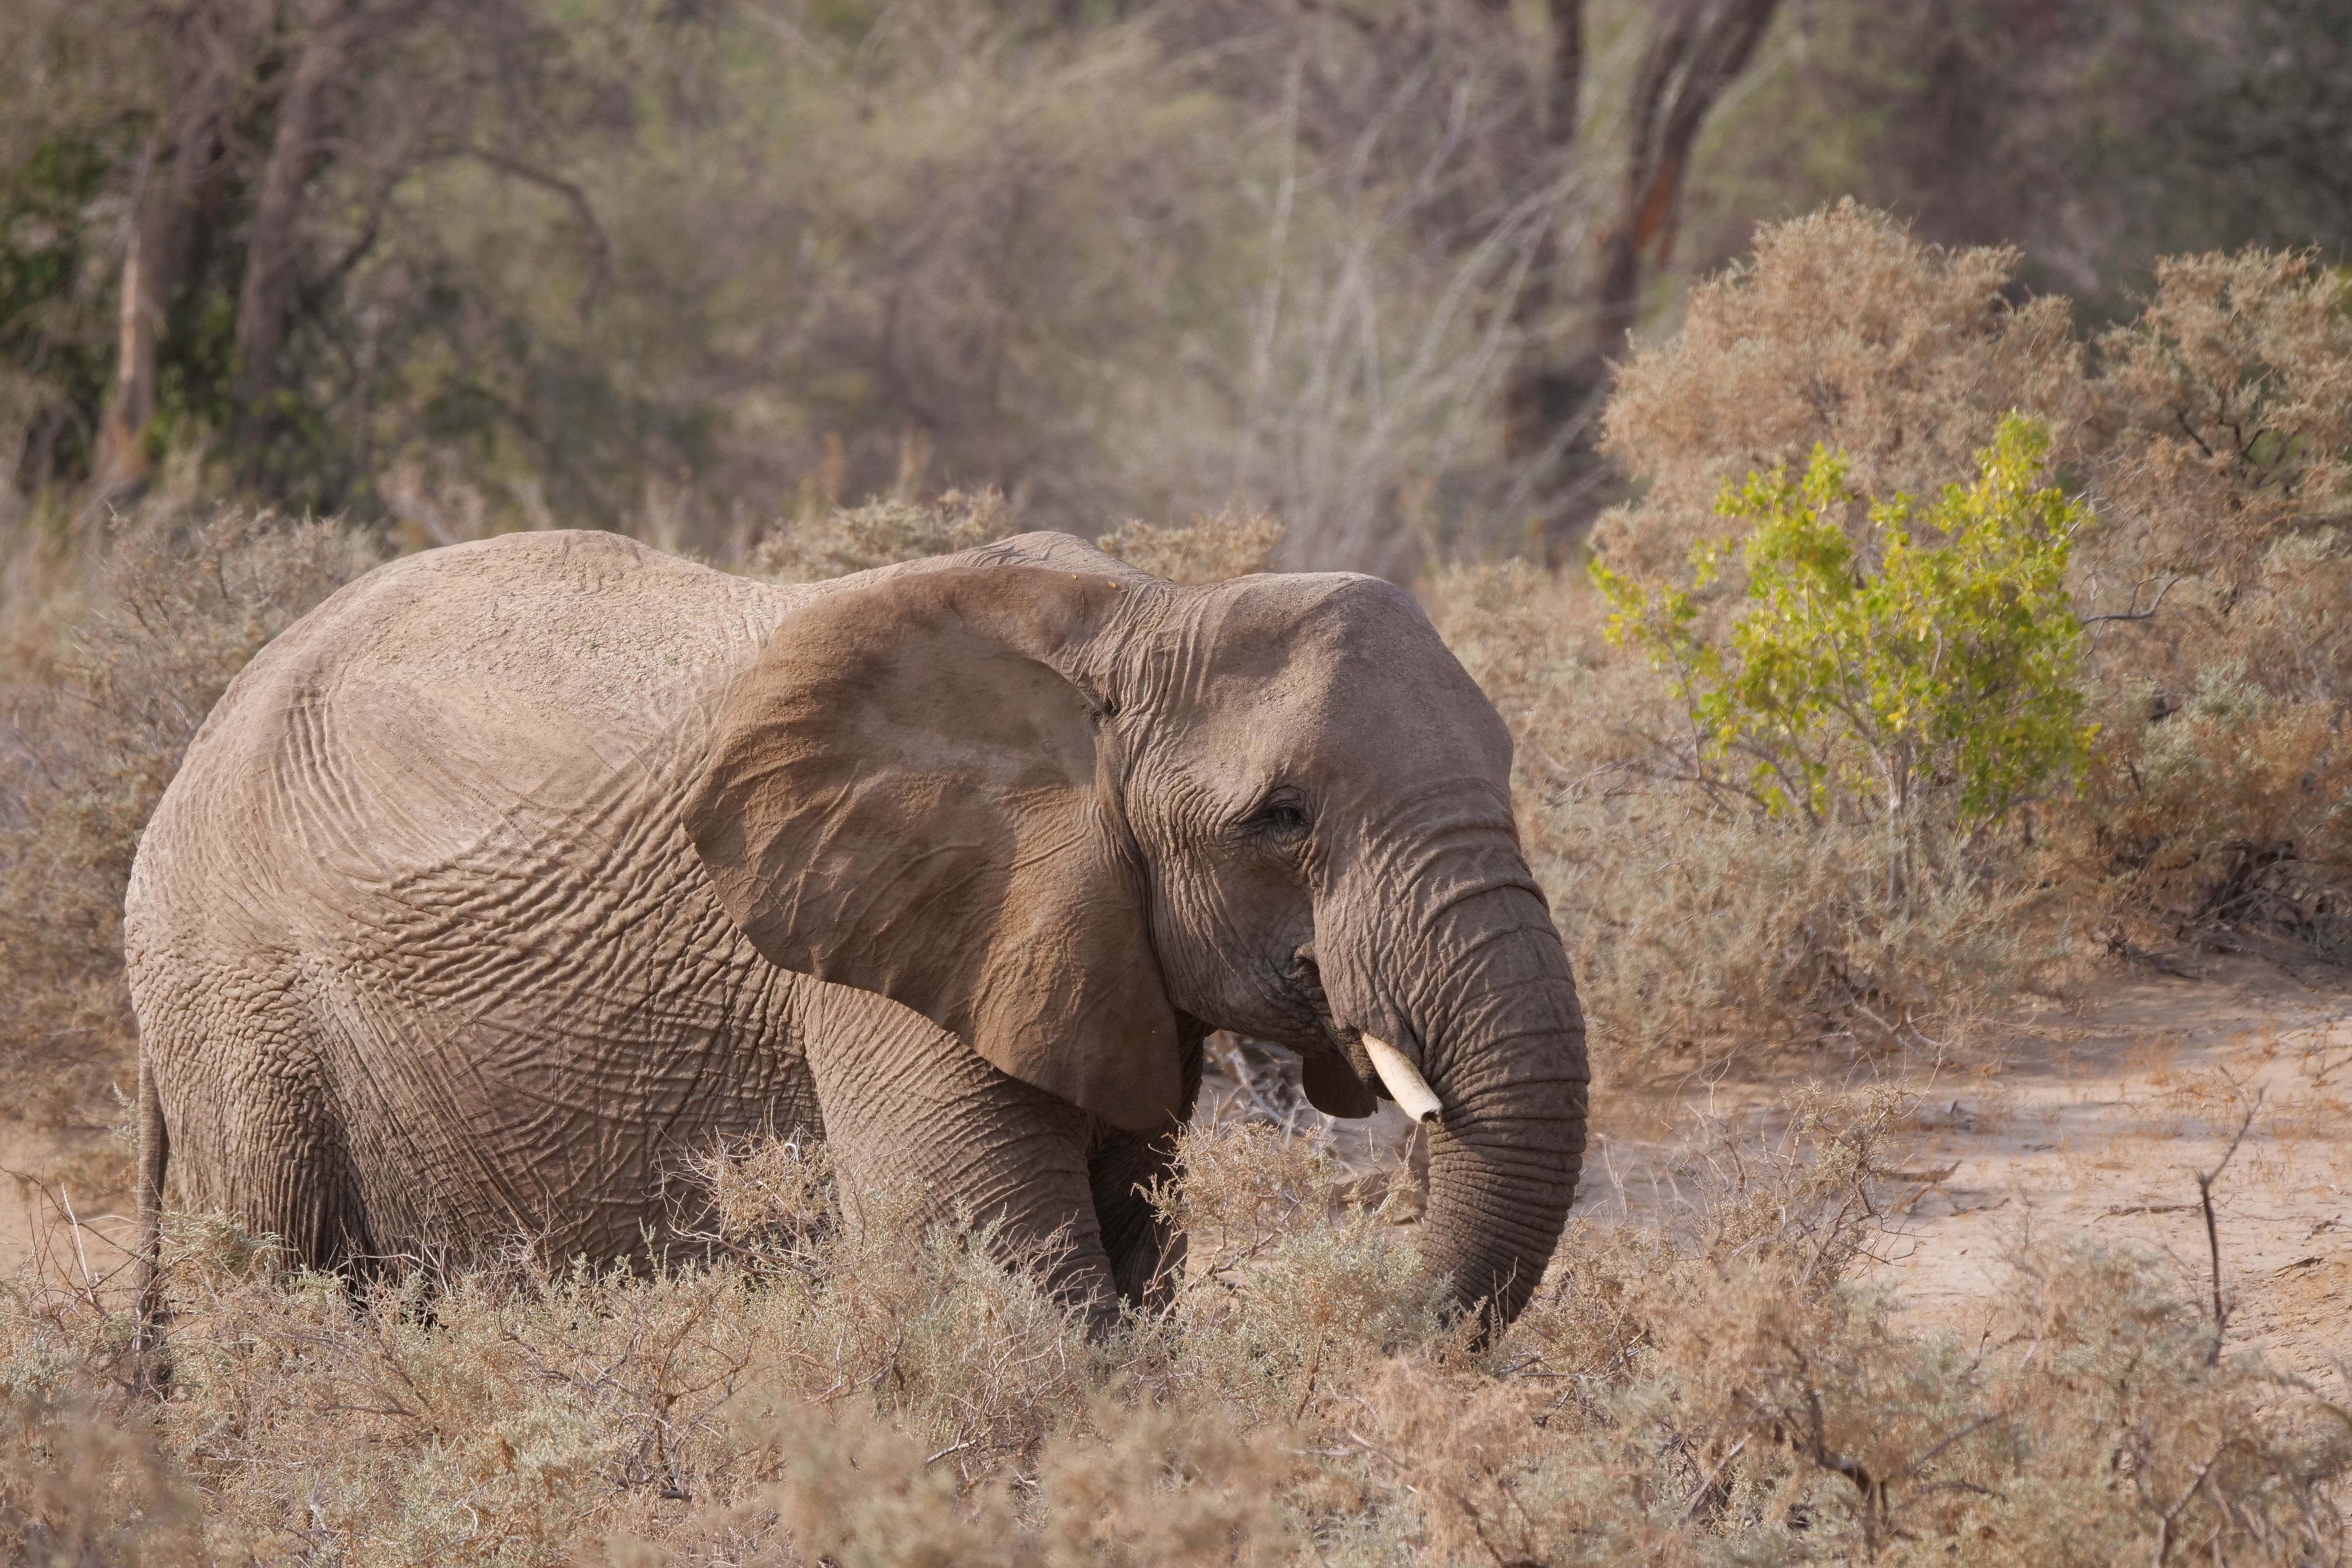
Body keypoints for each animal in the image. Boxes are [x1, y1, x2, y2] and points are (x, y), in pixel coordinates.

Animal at [124, 527, 1590, 1333]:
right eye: (1280, 818)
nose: (1369, 1313)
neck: (1141, 609)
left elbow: (1132, 1252)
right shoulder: (887, 940)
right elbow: (1005, 1269)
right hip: (240, 1005)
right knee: (283, 1277)